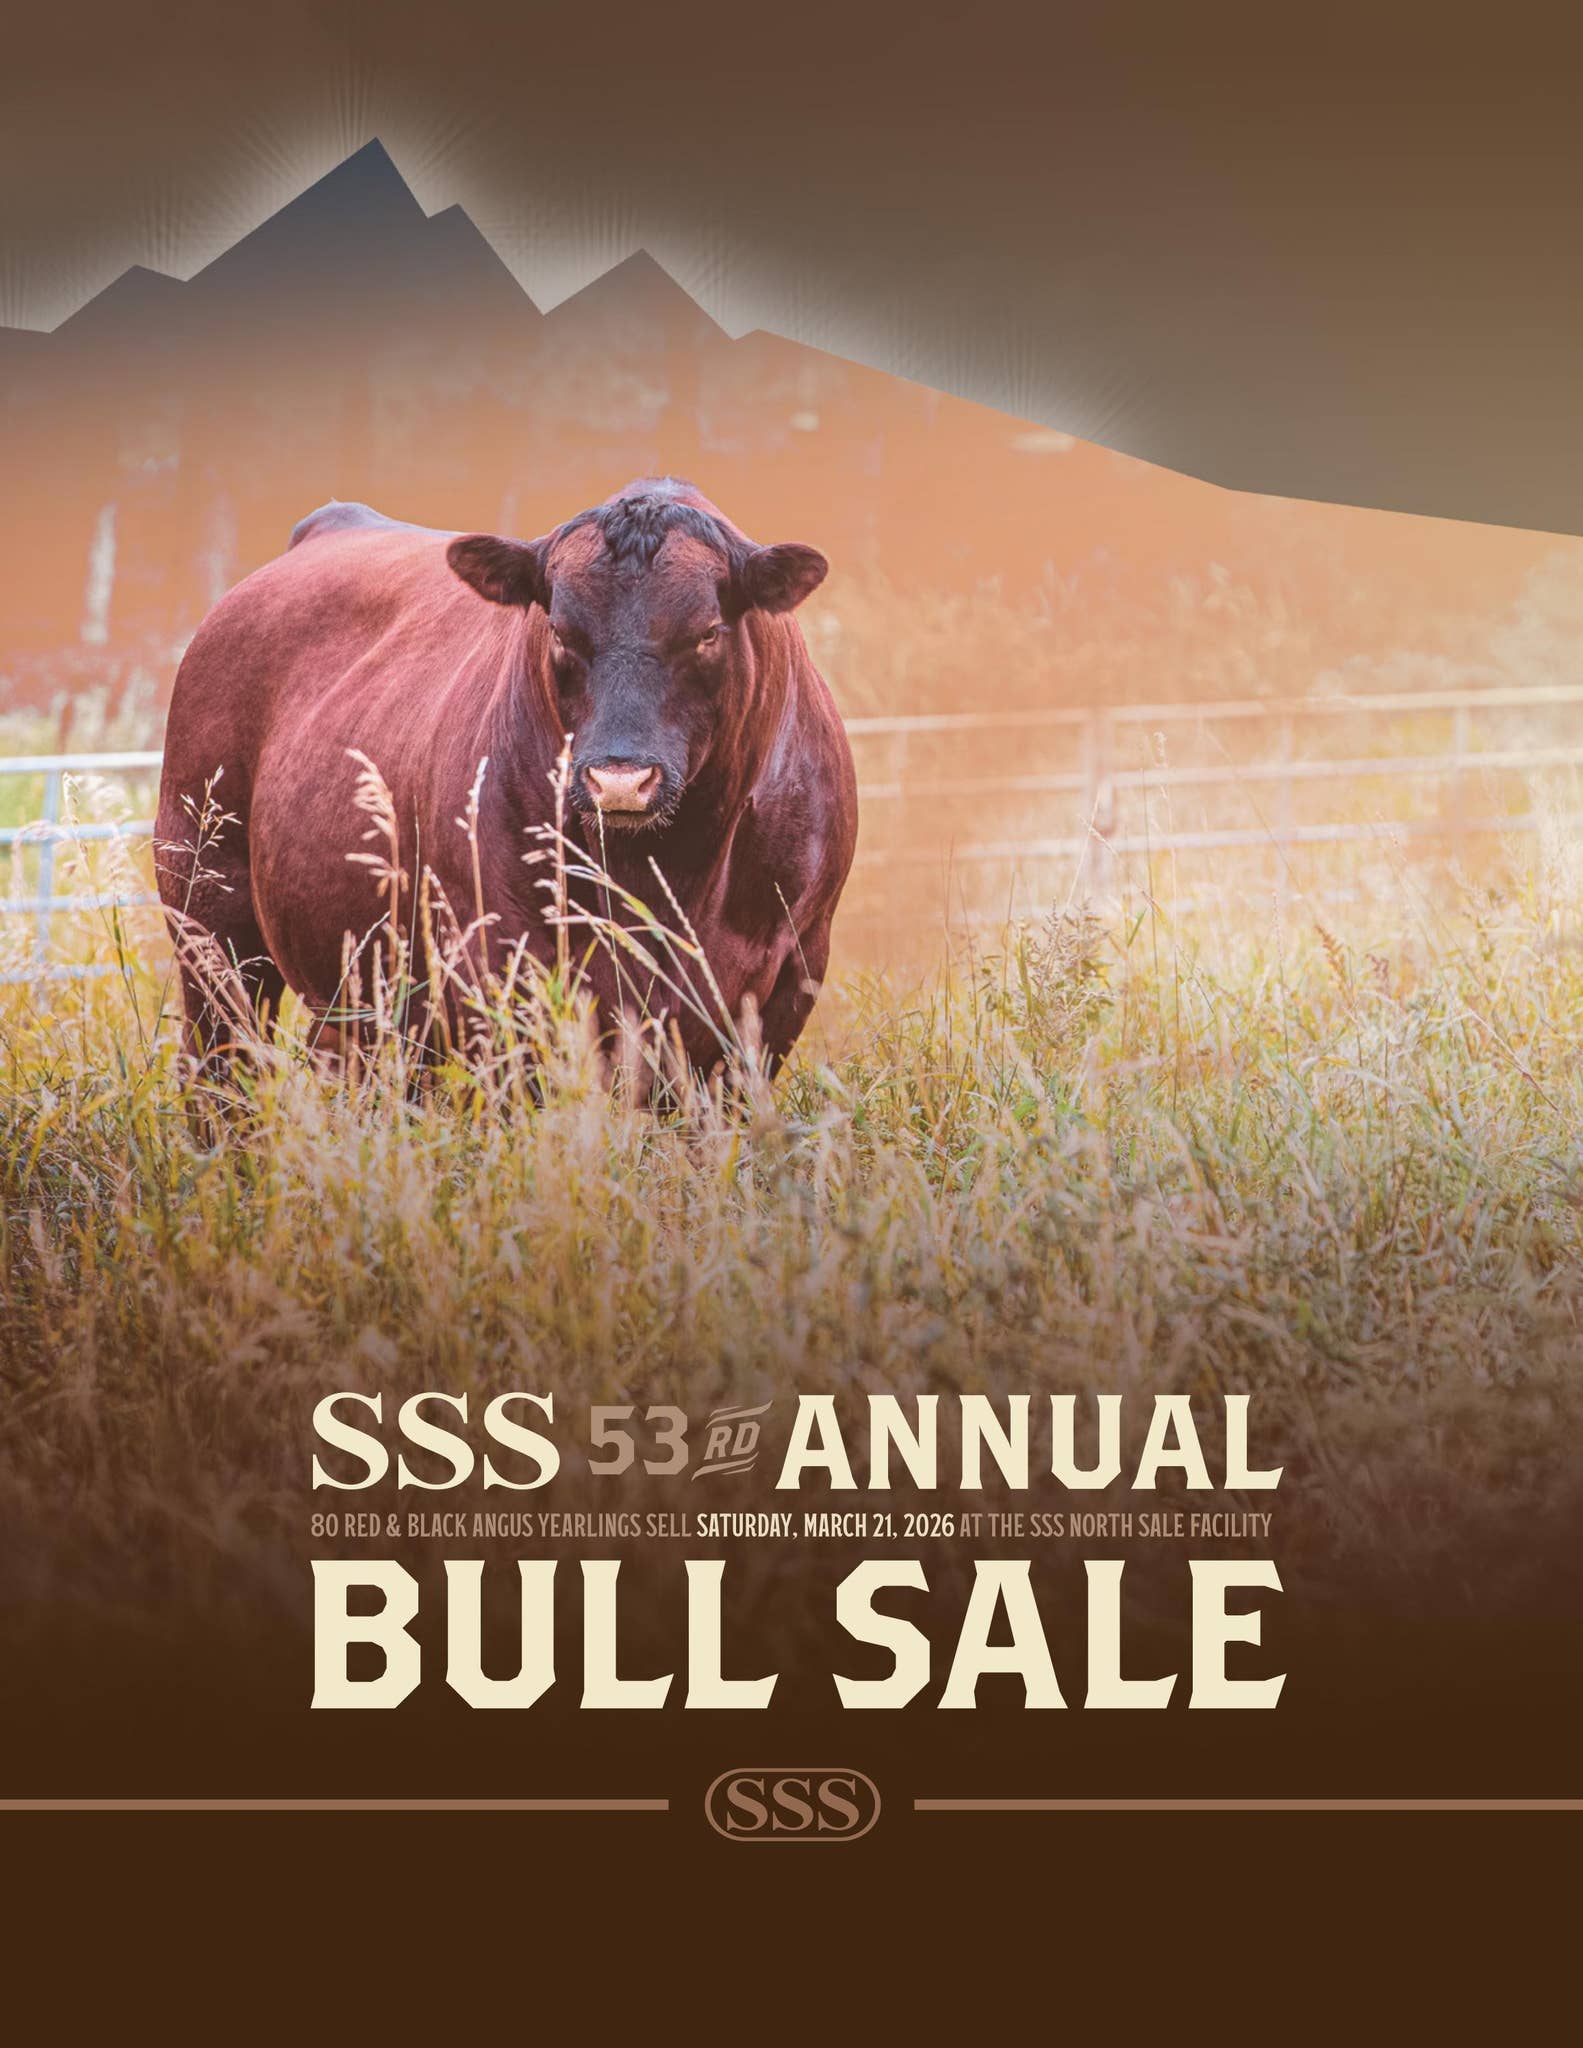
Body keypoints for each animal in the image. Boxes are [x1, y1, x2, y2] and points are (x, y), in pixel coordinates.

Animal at [154, 478, 858, 1081]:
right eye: (561, 631)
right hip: (208, 906)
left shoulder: (791, 969)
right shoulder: (496, 963)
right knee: (218, 1066)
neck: (671, 870)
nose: (620, 780)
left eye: (708, 632)